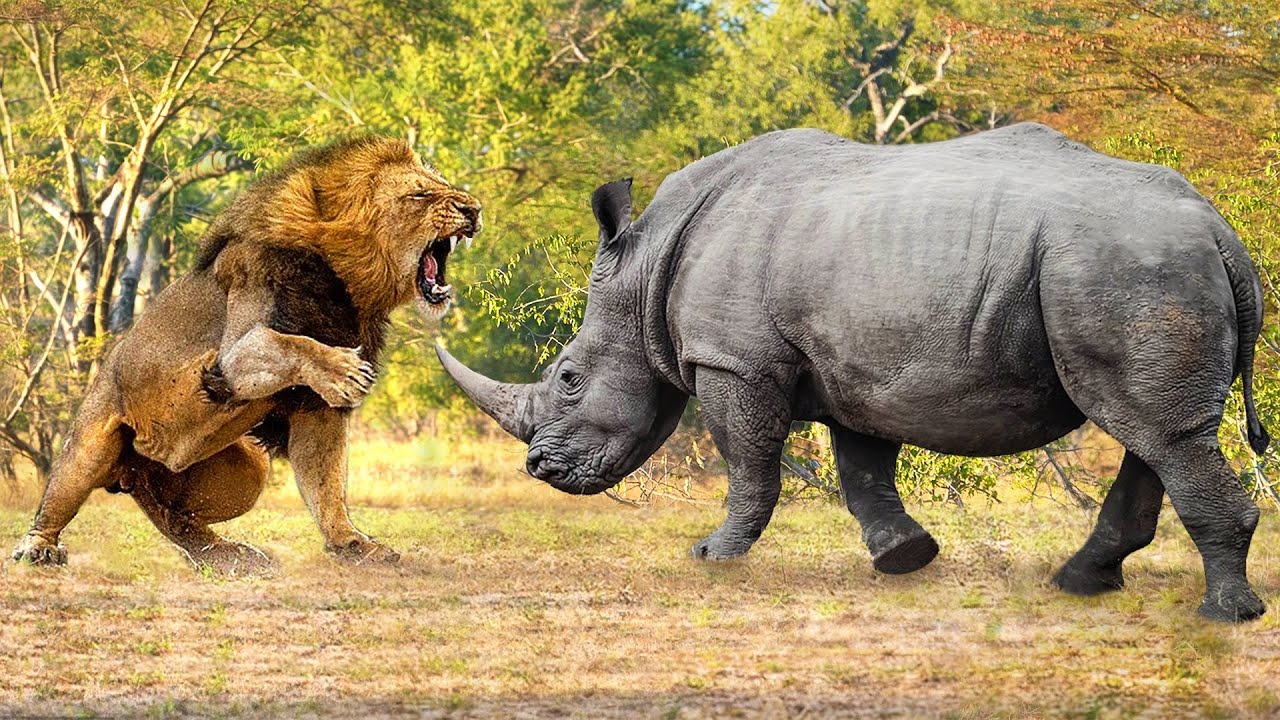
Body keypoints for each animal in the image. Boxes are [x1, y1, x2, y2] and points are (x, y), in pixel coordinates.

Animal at [11, 137, 481, 573]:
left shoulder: (314, 409)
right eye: (420, 195)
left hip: (248, 467)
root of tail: (133, 473)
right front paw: (345, 370)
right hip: (91, 440)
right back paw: (38, 549)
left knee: (175, 517)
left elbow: (326, 485)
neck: (348, 288)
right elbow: (291, 345)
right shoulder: (233, 353)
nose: (474, 209)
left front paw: (352, 545)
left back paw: (226, 554)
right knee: (65, 492)